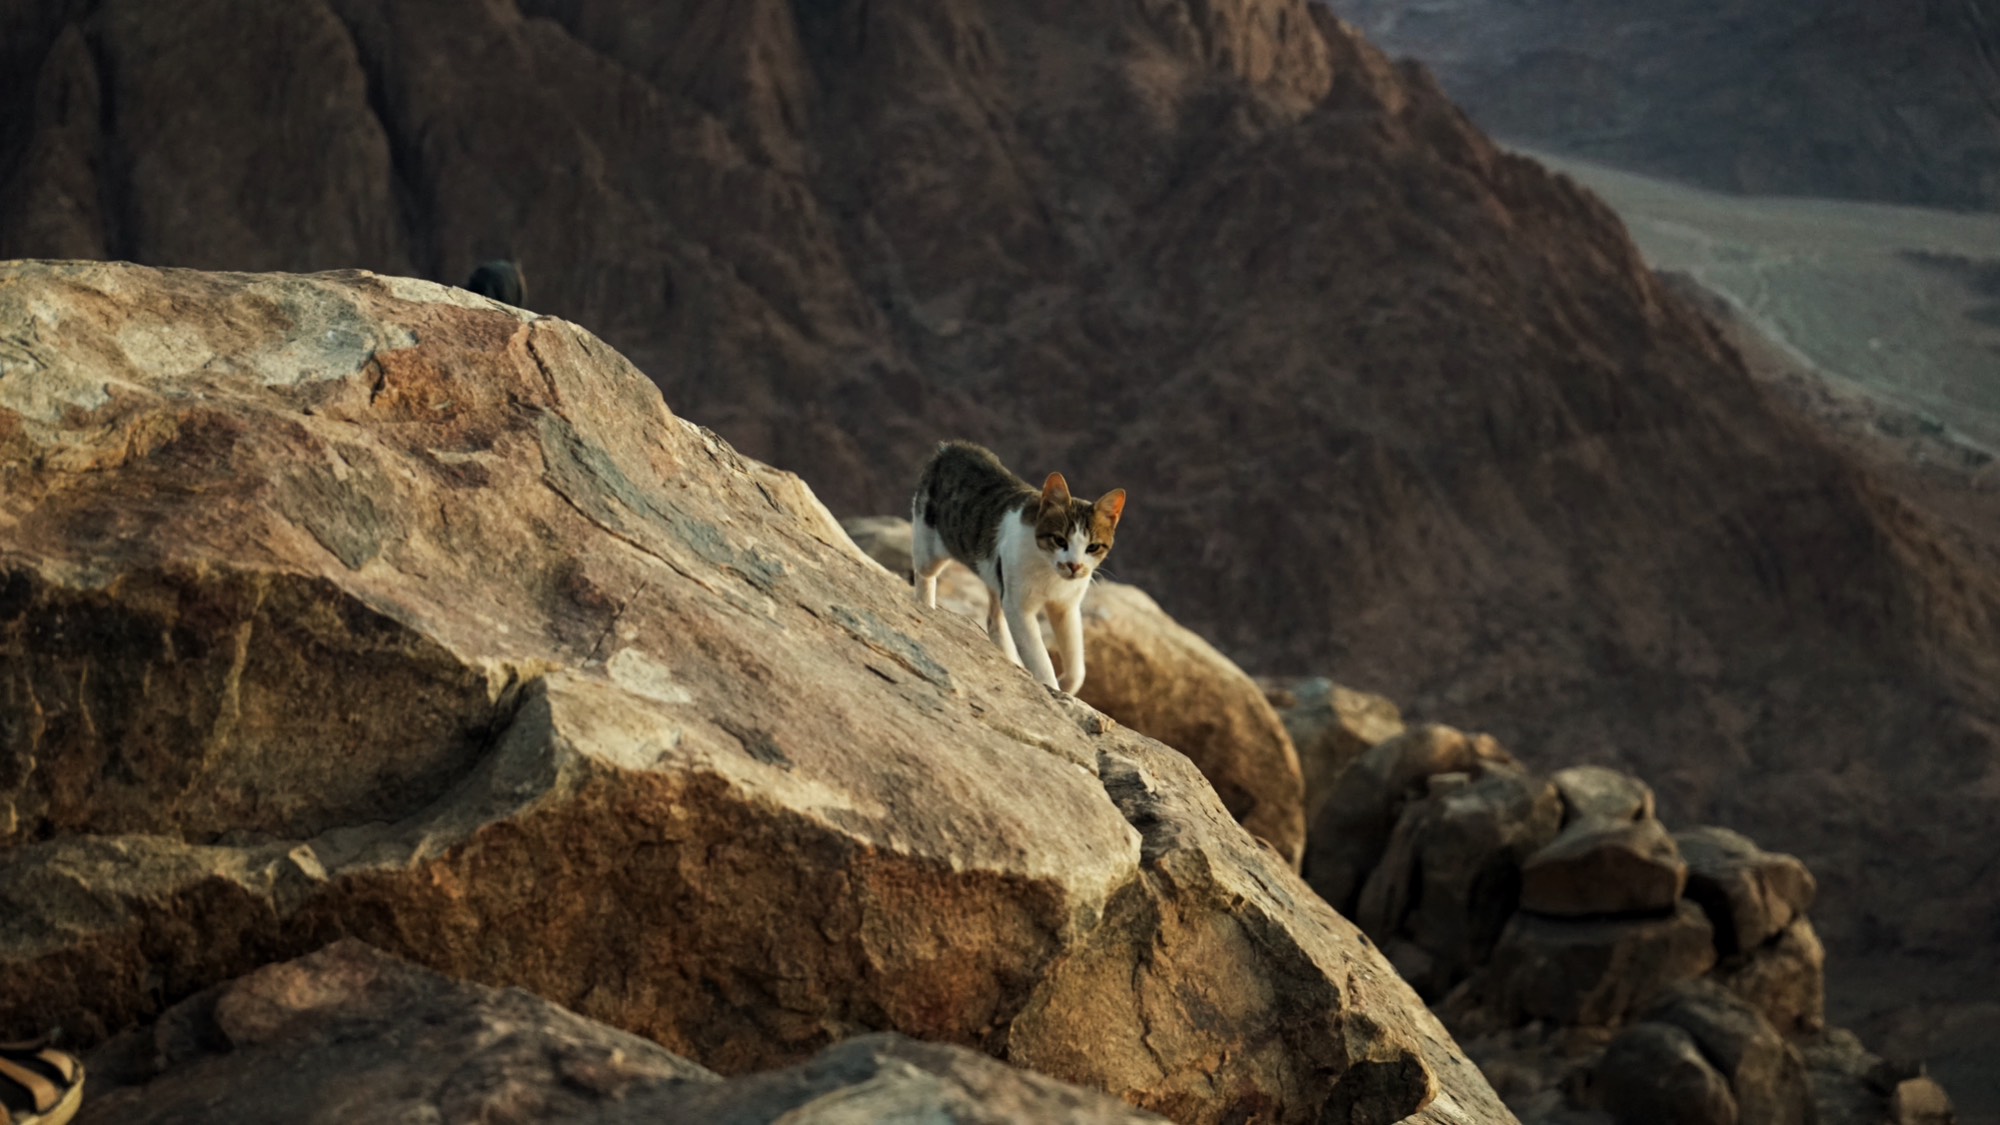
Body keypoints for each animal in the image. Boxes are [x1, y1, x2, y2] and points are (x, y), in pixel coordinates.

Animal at [912, 440, 1128, 692]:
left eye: (1092, 547)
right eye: (1060, 540)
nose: (1074, 566)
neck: (1049, 573)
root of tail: (950, 447)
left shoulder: (1066, 606)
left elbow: (1077, 665)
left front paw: (1065, 685)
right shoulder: (1018, 606)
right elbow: (1039, 658)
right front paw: (1051, 687)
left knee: (994, 620)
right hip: (929, 547)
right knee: (924, 576)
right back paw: (927, 608)